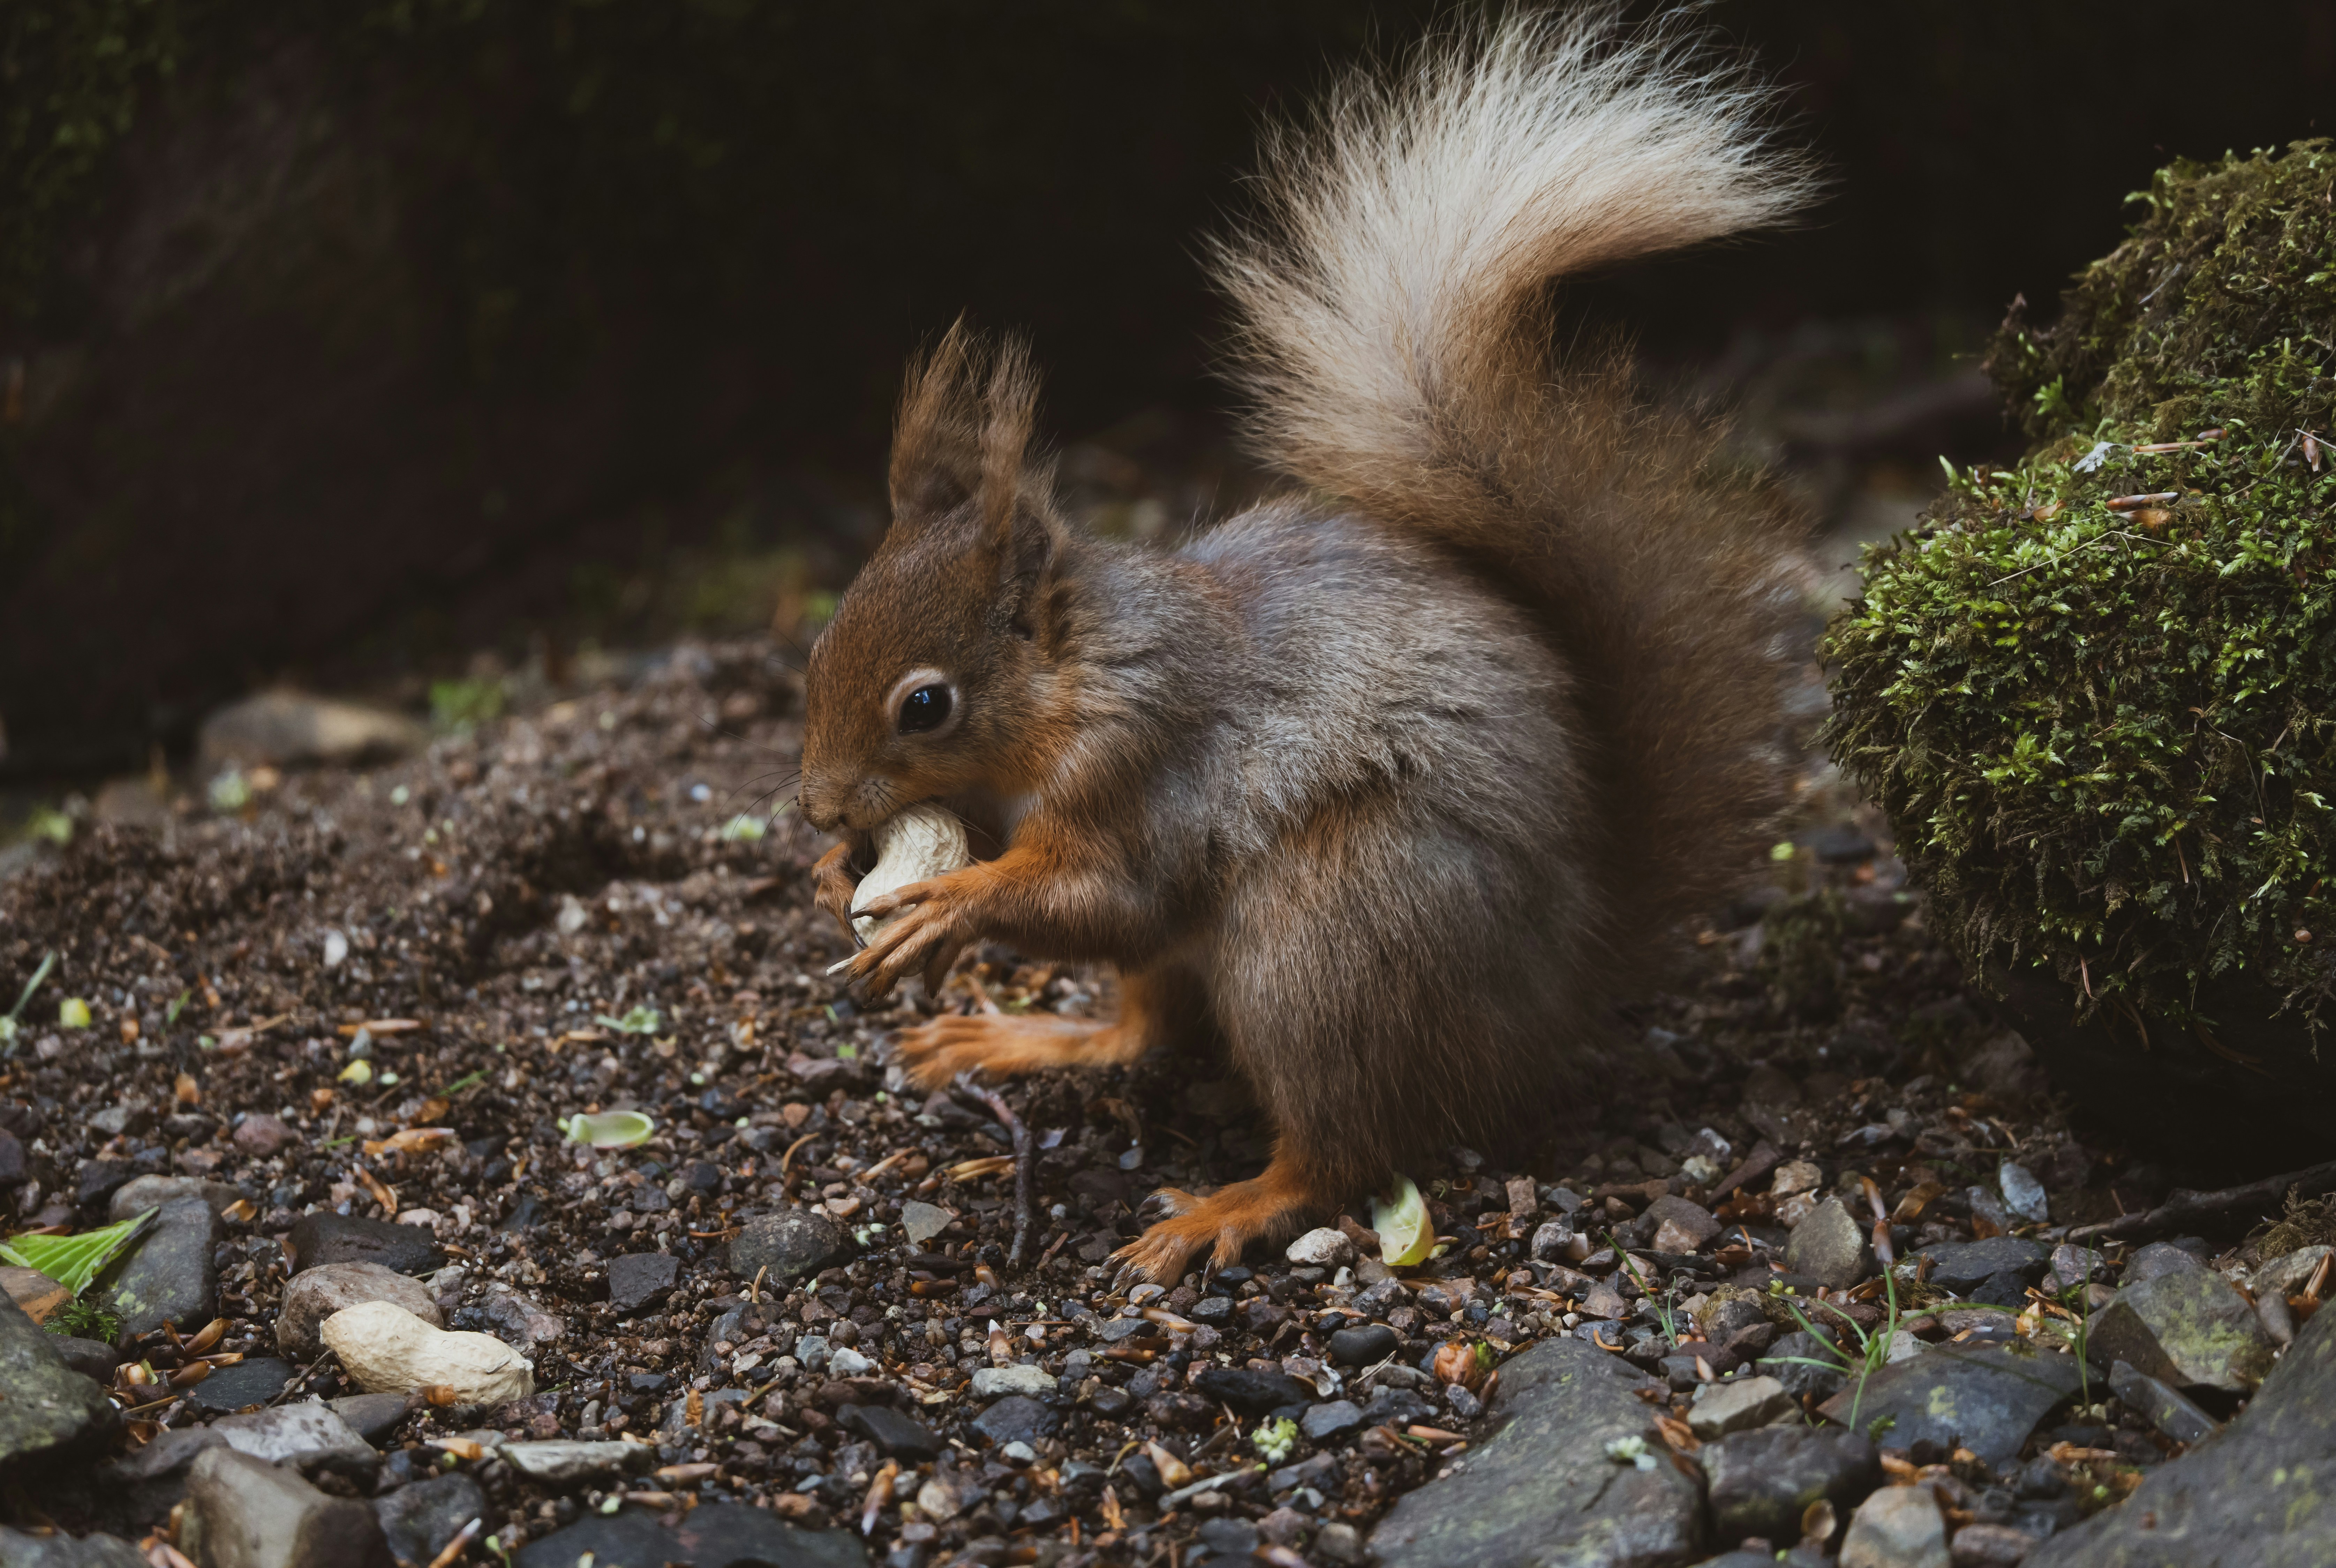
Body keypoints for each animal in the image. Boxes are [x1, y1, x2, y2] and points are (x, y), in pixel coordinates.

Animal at [795, 10, 1817, 1283]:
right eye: (817, 644)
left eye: (925, 705)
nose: (817, 808)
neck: (1079, 679)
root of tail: (1560, 983)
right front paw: (841, 874)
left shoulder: (1146, 765)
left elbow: (1104, 892)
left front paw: (951, 903)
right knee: (1147, 1025)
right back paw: (1036, 1039)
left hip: (1327, 949)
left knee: (1342, 1147)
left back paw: (1222, 1208)